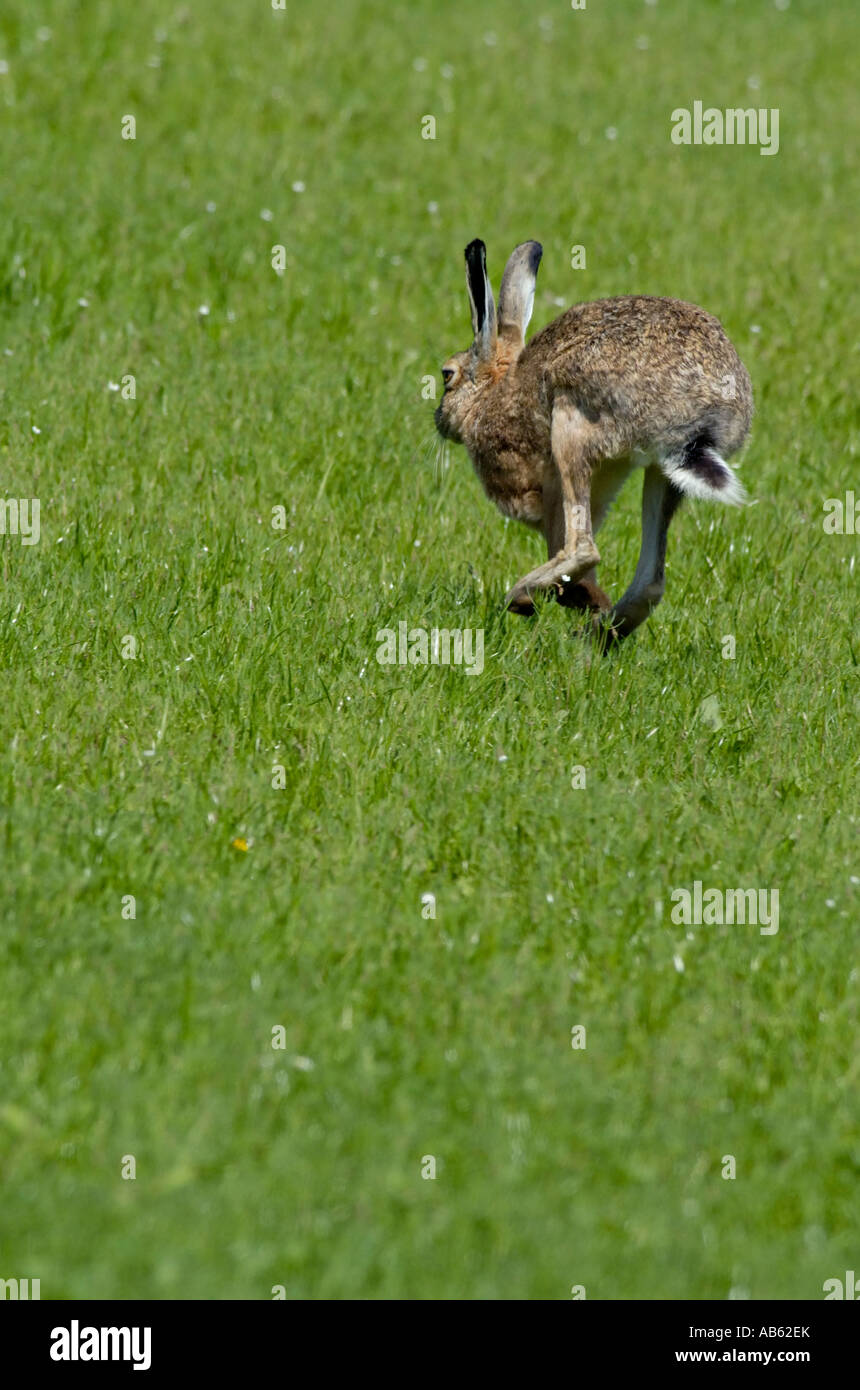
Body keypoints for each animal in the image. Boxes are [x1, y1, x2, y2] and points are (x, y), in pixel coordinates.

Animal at [434, 239, 753, 640]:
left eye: (447, 375)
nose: (439, 419)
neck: (492, 394)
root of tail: (708, 411)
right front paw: (584, 597)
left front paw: (576, 597)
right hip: (662, 471)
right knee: (649, 582)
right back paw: (595, 635)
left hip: (572, 428)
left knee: (583, 548)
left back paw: (524, 598)